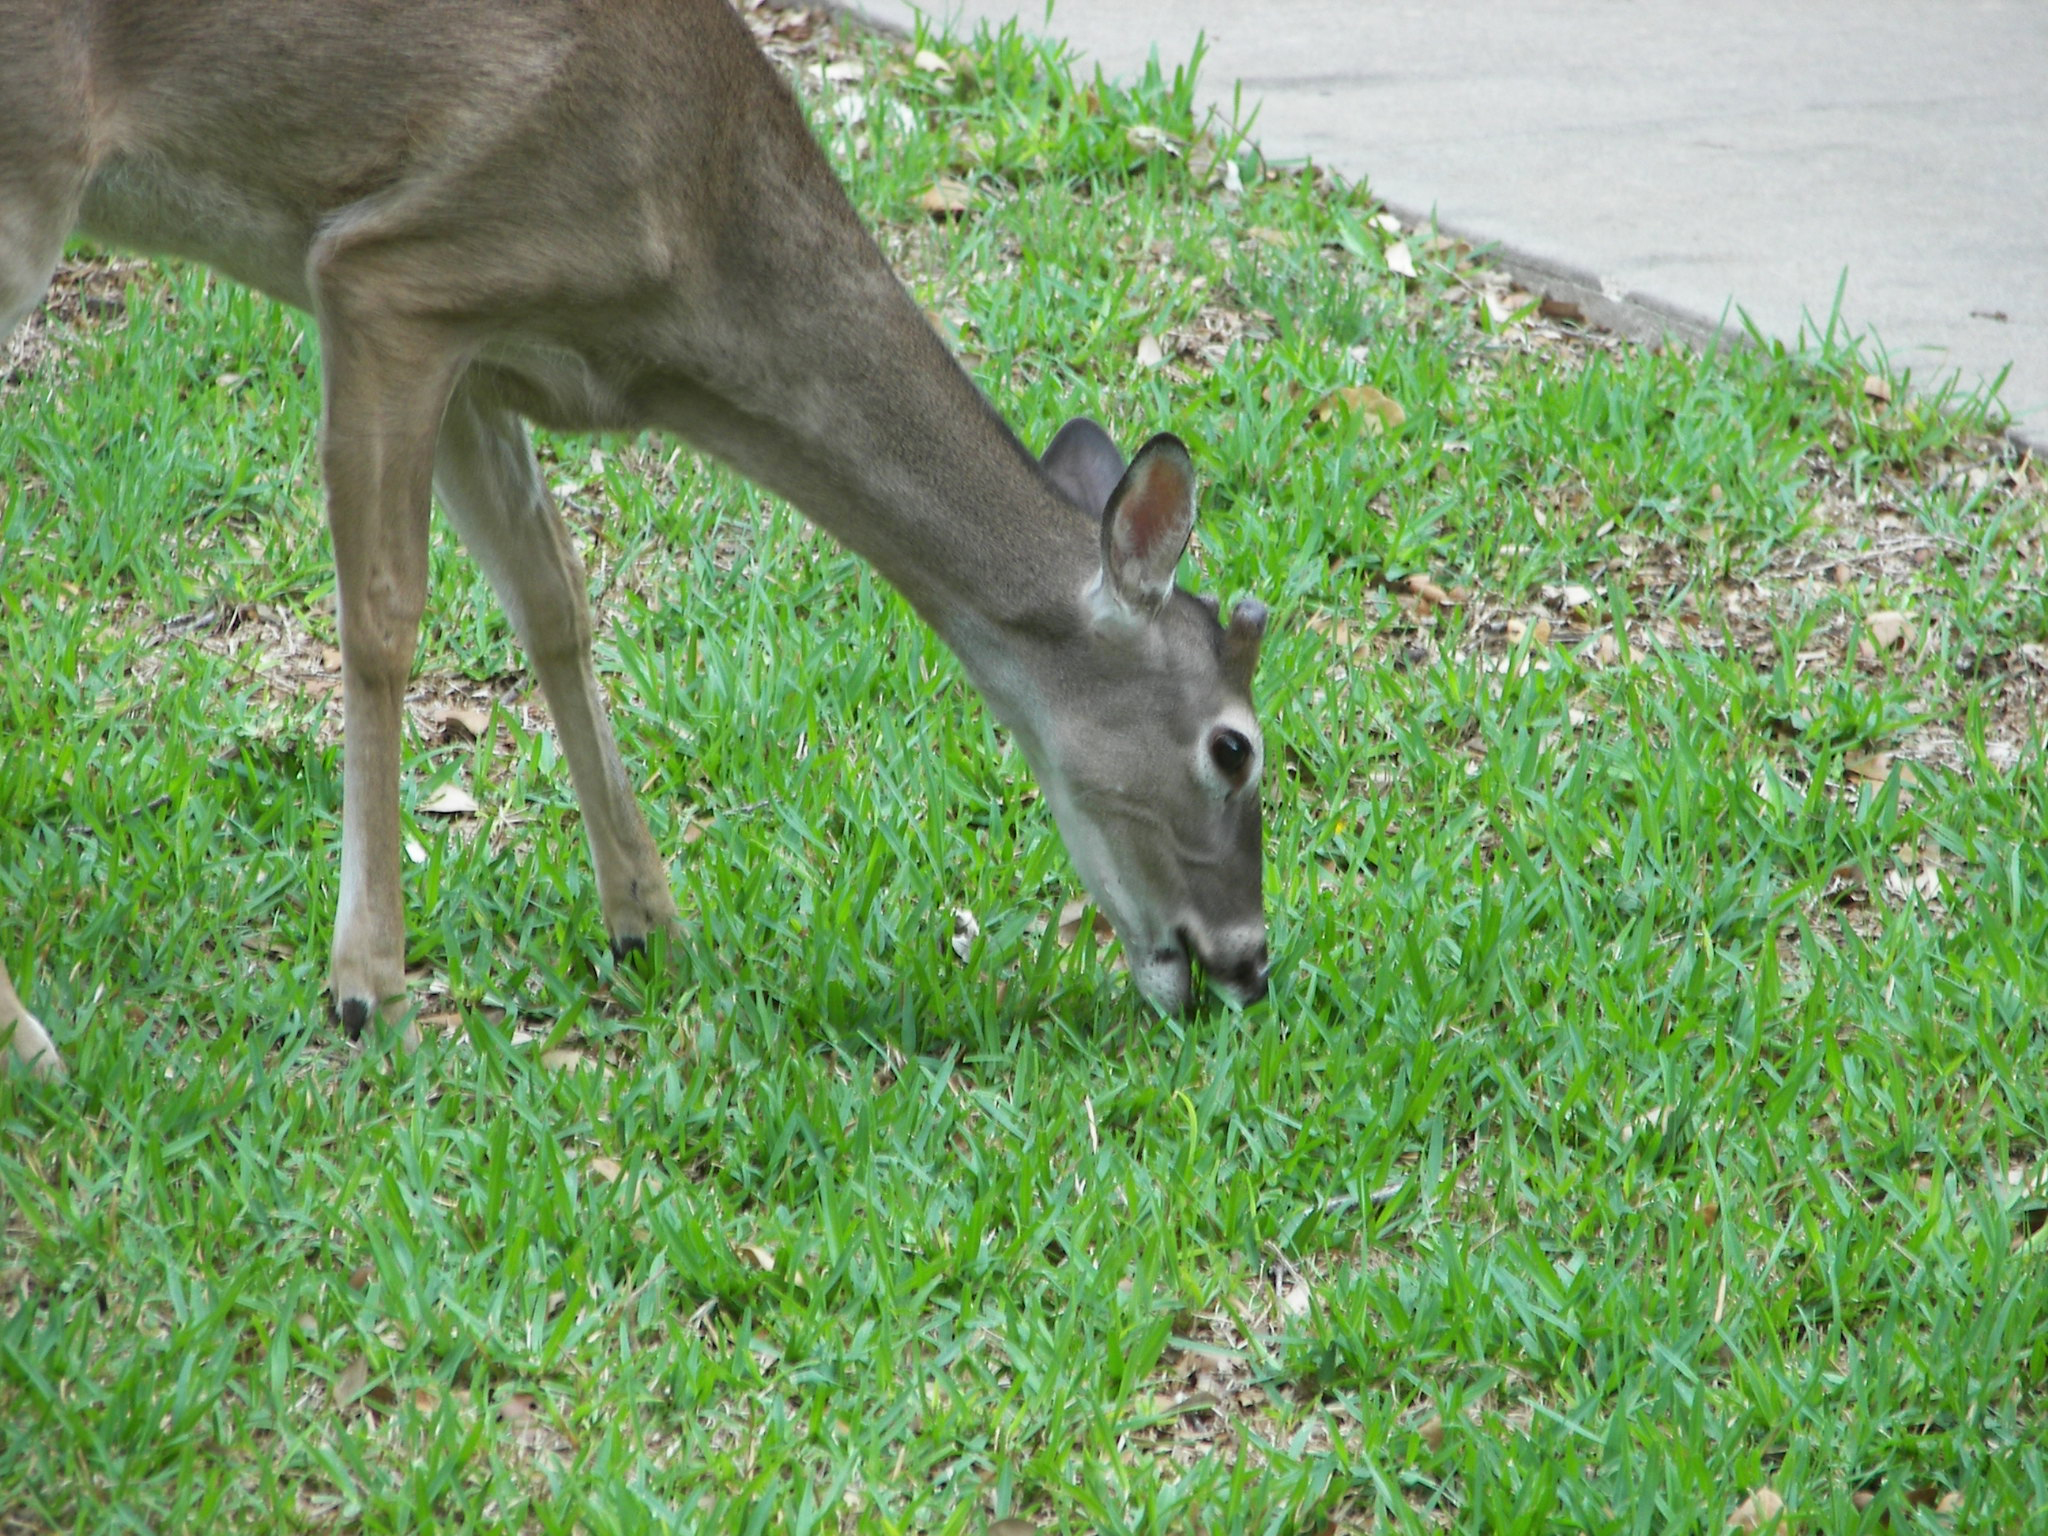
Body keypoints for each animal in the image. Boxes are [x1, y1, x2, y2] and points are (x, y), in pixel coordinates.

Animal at [0, 0, 1272, 1082]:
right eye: (1233, 748)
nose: (1248, 960)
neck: (684, 282)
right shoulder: (388, 271)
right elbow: (385, 616)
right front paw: (368, 986)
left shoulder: (479, 346)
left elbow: (552, 594)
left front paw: (647, 924)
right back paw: (34, 1046)